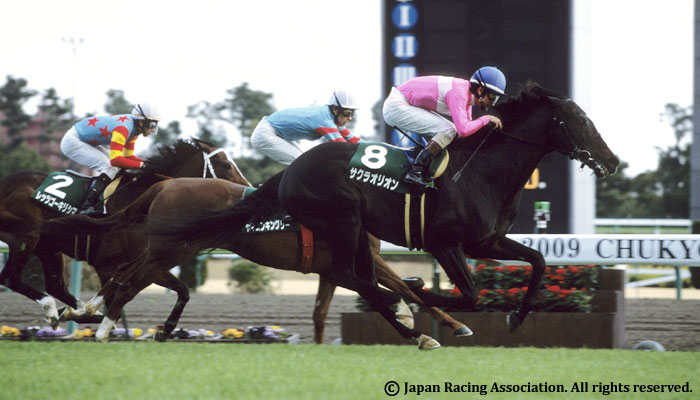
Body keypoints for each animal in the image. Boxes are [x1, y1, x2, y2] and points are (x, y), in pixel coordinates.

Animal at [0, 138, 250, 327]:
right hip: (27, 236)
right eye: (226, 165)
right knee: (10, 277)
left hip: (49, 248)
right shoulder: (107, 264)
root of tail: (6, 182)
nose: (247, 188)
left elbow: (183, 290)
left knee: (55, 286)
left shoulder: (149, 262)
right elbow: (114, 304)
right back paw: (53, 310)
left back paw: (68, 312)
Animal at [42, 175, 471, 348]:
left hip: (170, 249)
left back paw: (90, 313)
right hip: (171, 249)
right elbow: (396, 291)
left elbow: (363, 300)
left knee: (126, 276)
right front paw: (440, 326)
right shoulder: (355, 262)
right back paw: (102, 325)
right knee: (130, 279)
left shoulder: (335, 269)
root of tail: (165, 184)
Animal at [147, 82, 620, 342]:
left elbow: (538, 260)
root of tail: (288, 174)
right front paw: (421, 298)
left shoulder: (485, 241)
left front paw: (517, 317)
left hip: (353, 230)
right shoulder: (445, 243)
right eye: (580, 120)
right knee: (349, 274)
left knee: (352, 276)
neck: (480, 170)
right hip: (345, 220)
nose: (612, 160)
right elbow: (466, 294)